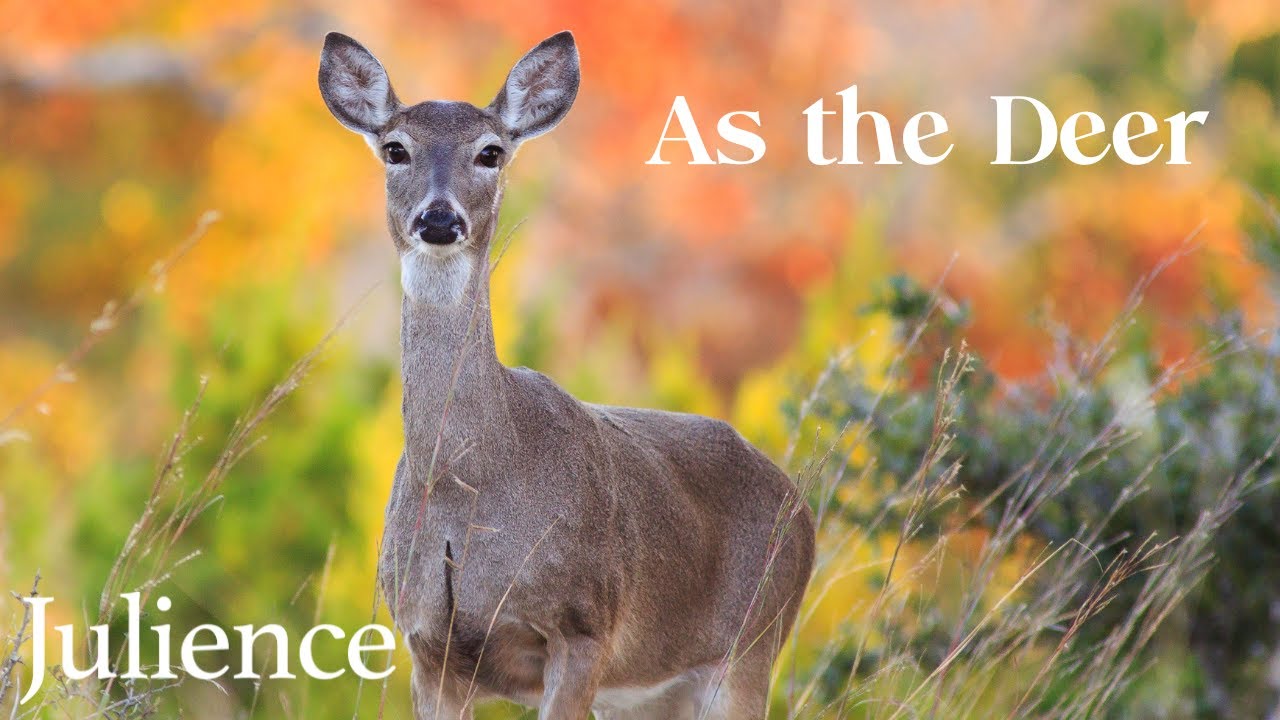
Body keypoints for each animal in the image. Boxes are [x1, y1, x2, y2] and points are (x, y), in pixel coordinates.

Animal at [318, 30, 815, 720]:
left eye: (491, 152)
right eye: (395, 148)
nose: (439, 219)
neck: (472, 481)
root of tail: (802, 510)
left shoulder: (584, 626)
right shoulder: (427, 648)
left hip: (751, 645)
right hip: (650, 692)